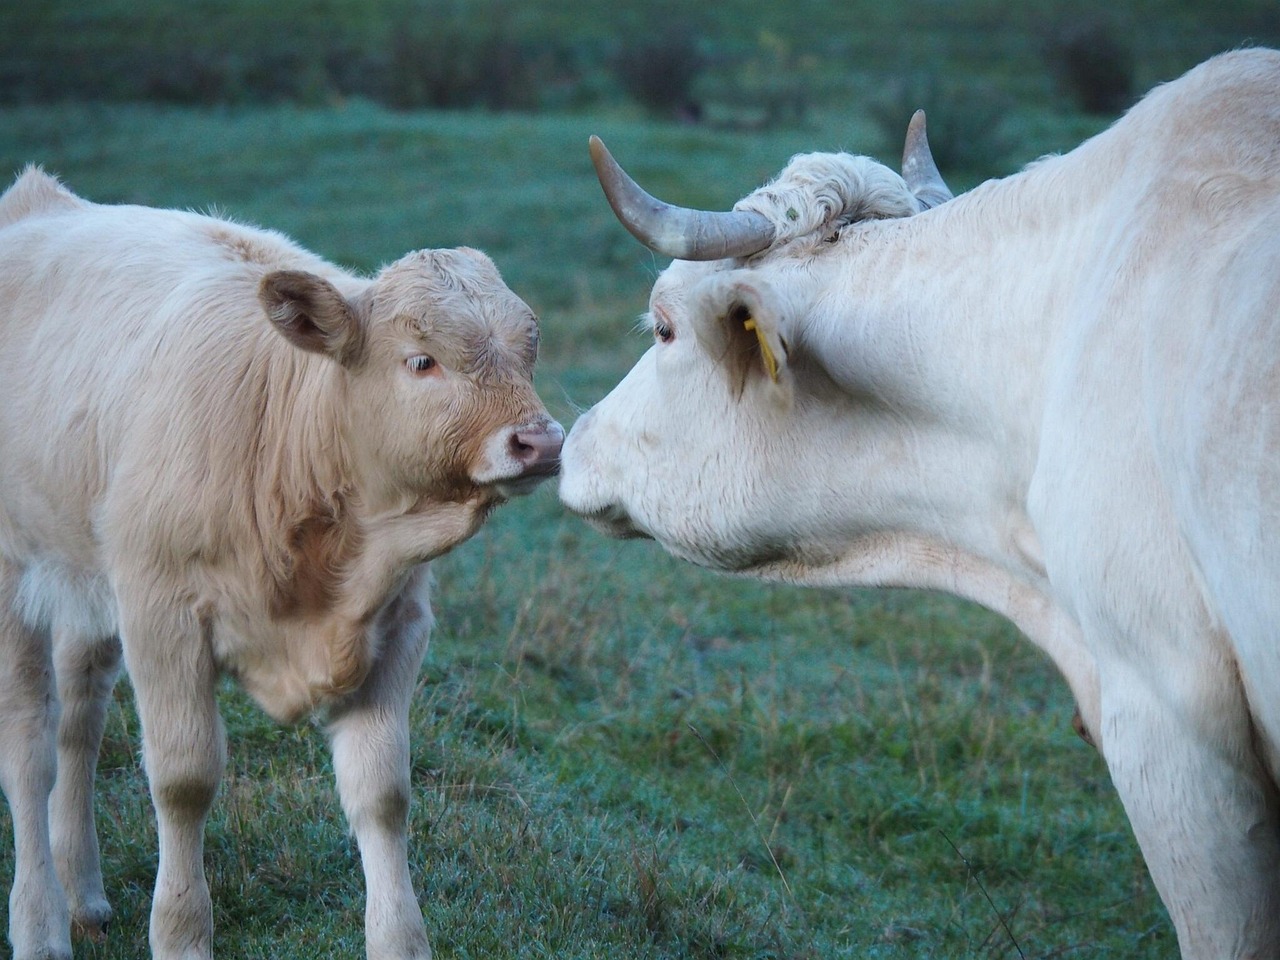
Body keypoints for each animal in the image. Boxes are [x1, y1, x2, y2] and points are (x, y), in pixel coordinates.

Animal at [0, 168, 563, 960]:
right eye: (422, 360)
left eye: (527, 351)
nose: (540, 442)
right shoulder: (162, 612)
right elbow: (184, 780)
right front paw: (181, 934)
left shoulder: (397, 622)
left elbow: (382, 793)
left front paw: (399, 940)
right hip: (17, 573)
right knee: (28, 746)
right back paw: (41, 923)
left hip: (87, 574)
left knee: (78, 721)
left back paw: (83, 894)